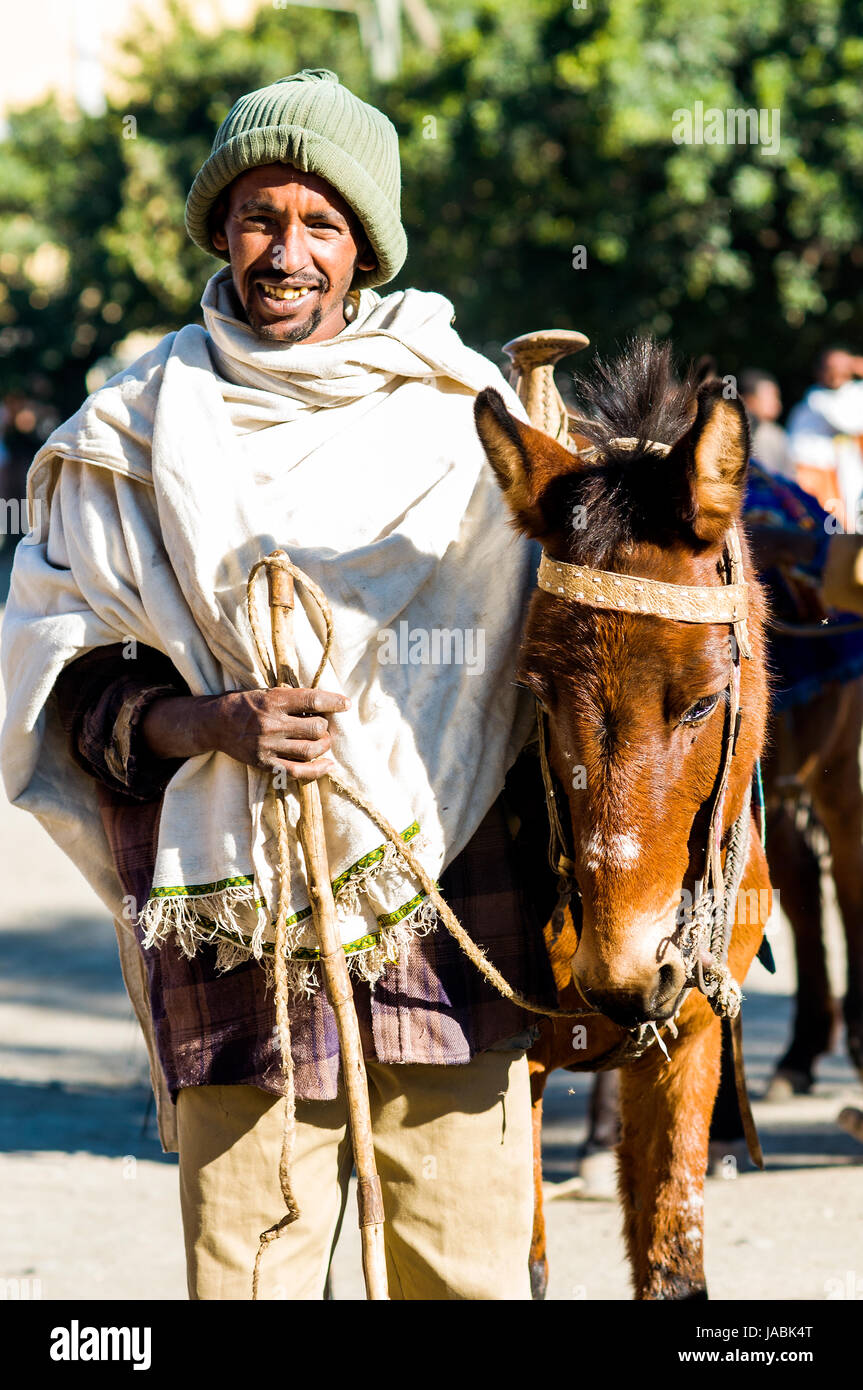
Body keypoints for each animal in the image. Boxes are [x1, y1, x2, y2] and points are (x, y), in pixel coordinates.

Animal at [474, 338, 771, 1300]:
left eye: (702, 704)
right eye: (535, 696)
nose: (624, 975)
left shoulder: (688, 1042)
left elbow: (673, 1264)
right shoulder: (504, 1075)